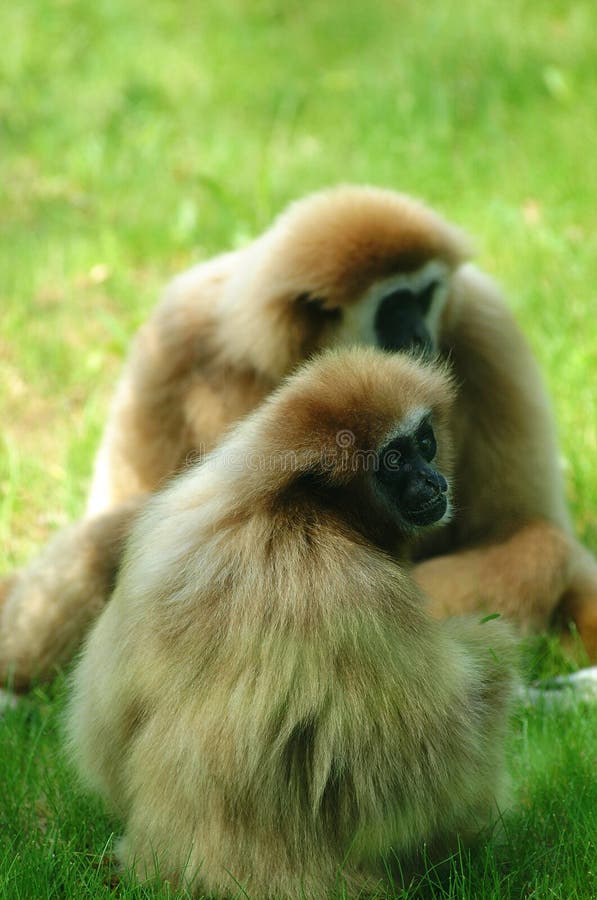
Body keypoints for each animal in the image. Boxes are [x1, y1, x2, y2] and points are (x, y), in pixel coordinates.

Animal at [2, 184, 596, 688]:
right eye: (394, 305)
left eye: (427, 295)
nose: (420, 335)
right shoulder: (175, 334)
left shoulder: (485, 329)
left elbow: (522, 529)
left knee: (541, 547)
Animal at [66, 347, 518, 899]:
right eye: (394, 460)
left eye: (425, 442)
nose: (432, 480)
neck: (292, 508)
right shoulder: (353, 591)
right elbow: (426, 759)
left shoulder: (169, 526)